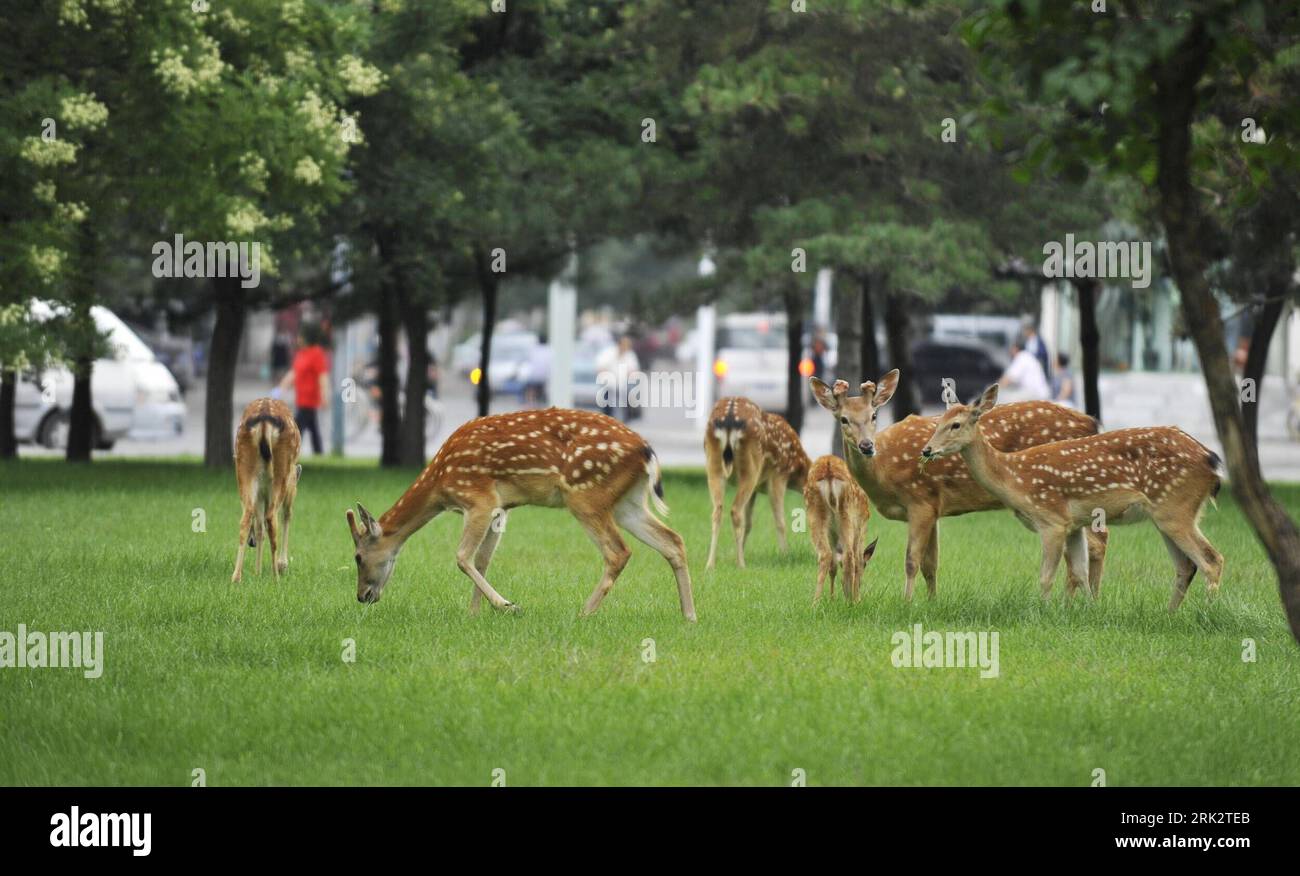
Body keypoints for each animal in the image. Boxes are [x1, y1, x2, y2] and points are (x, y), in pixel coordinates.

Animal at [232, 398, 302, 583]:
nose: (251, 543)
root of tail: (264, 421)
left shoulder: (260, 494)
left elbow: (258, 525)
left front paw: (257, 572)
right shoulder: (290, 483)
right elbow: (287, 514)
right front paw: (282, 564)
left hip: (244, 469)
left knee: (246, 516)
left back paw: (236, 577)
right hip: (282, 471)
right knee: (271, 518)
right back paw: (275, 576)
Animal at [346, 408, 696, 620]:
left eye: (358, 557)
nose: (362, 596)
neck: (439, 483)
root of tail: (647, 451)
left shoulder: (478, 498)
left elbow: (462, 557)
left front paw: (507, 605)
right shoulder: (501, 508)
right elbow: (482, 560)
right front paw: (475, 613)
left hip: (586, 494)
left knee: (618, 551)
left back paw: (583, 613)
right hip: (628, 502)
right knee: (673, 540)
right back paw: (689, 616)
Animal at [704, 397, 810, 569]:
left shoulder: (755, 489)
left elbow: (749, 523)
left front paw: (737, 554)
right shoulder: (779, 475)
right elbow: (780, 522)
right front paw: (786, 555)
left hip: (714, 465)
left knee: (717, 510)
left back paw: (710, 565)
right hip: (751, 466)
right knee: (735, 511)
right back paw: (741, 565)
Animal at [803, 455, 879, 604]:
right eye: (866, 565)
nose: (859, 586)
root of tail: (829, 470)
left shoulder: (834, 532)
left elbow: (834, 565)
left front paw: (833, 598)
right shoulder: (861, 526)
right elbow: (854, 559)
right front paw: (854, 597)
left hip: (821, 513)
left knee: (831, 554)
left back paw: (817, 602)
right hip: (846, 514)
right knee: (849, 555)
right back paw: (848, 601)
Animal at [920, 384, 1224, 609]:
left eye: (955, 425)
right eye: (937, 423)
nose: (927, 450)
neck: (1014, 478)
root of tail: (1211, 460)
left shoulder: (1051, 519)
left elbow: (1046, 576)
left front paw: (1041, 611)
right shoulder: (1074, 524)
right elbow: (1080, 573)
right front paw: (1090, 611)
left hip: (1175, 507)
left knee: (1211, 560)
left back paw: (1206, 613)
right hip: (1167, 514)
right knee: (1186, 565)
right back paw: (1170, 613)